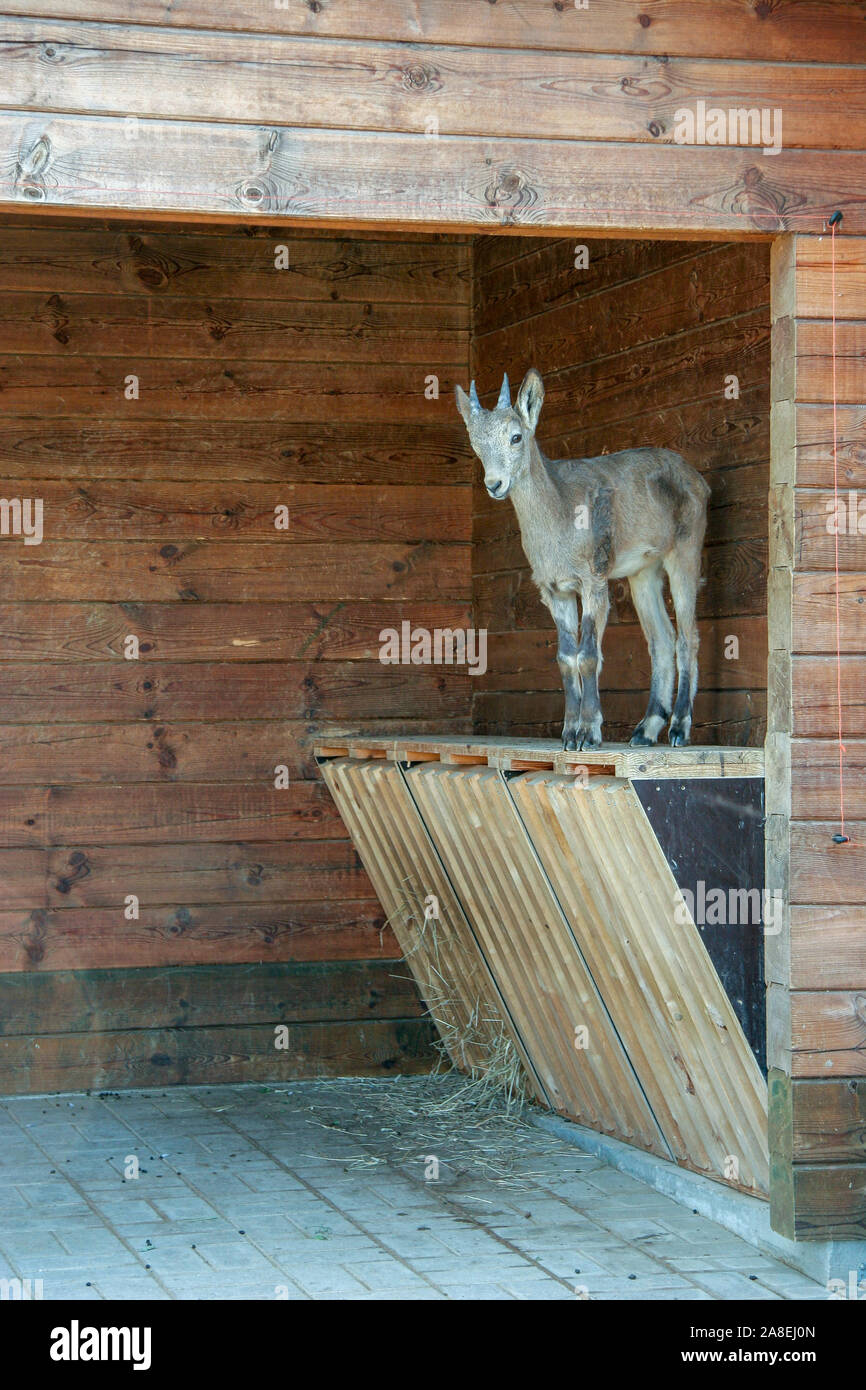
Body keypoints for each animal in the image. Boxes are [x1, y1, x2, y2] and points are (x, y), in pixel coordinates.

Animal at [456, 368, 709, 752]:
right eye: (475, 442)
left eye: (516, 436)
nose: (495, 484)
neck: (560, 513)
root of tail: (699, 481)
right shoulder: (554, 589)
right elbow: (565, 657)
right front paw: (568, 733)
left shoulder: (593, 579)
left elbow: (588, 654)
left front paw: (589, 733)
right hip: (643, 571)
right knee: (661, 639)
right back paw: (646, 729)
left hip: (685, 549)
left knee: (687, 636)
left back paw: (680, 728)